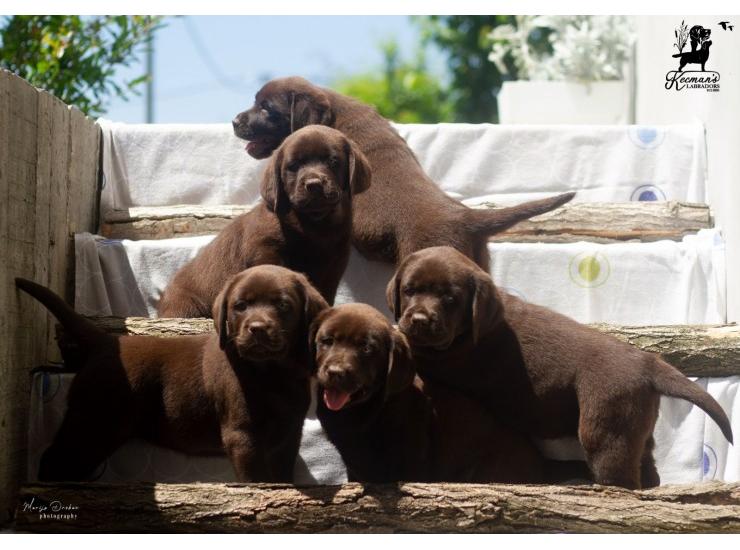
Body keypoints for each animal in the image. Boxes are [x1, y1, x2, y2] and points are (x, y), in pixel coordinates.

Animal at [13, 268, 326, 484]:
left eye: (283, 305)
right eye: (240, 306)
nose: (258, 328)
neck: (272, 373)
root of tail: (107, 341)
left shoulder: (288, 433)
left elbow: (281, 476)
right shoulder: (243, 435)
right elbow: (257, 480)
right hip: (94, 420)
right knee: (54, 460)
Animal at [160, 123, 372, 316]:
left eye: (333, 161)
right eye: (293, 166)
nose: (314, 184)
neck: (315, 223)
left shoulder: (335, 262)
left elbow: (324, 293)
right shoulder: (266, 250)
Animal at [388, 248, 736, 490]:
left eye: (450, 299)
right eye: (409, 290)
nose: (419, 319)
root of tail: (648, 362)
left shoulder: (439, 354)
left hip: (605, 426)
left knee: (622, 477)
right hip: (636, 423)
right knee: (648, 470)